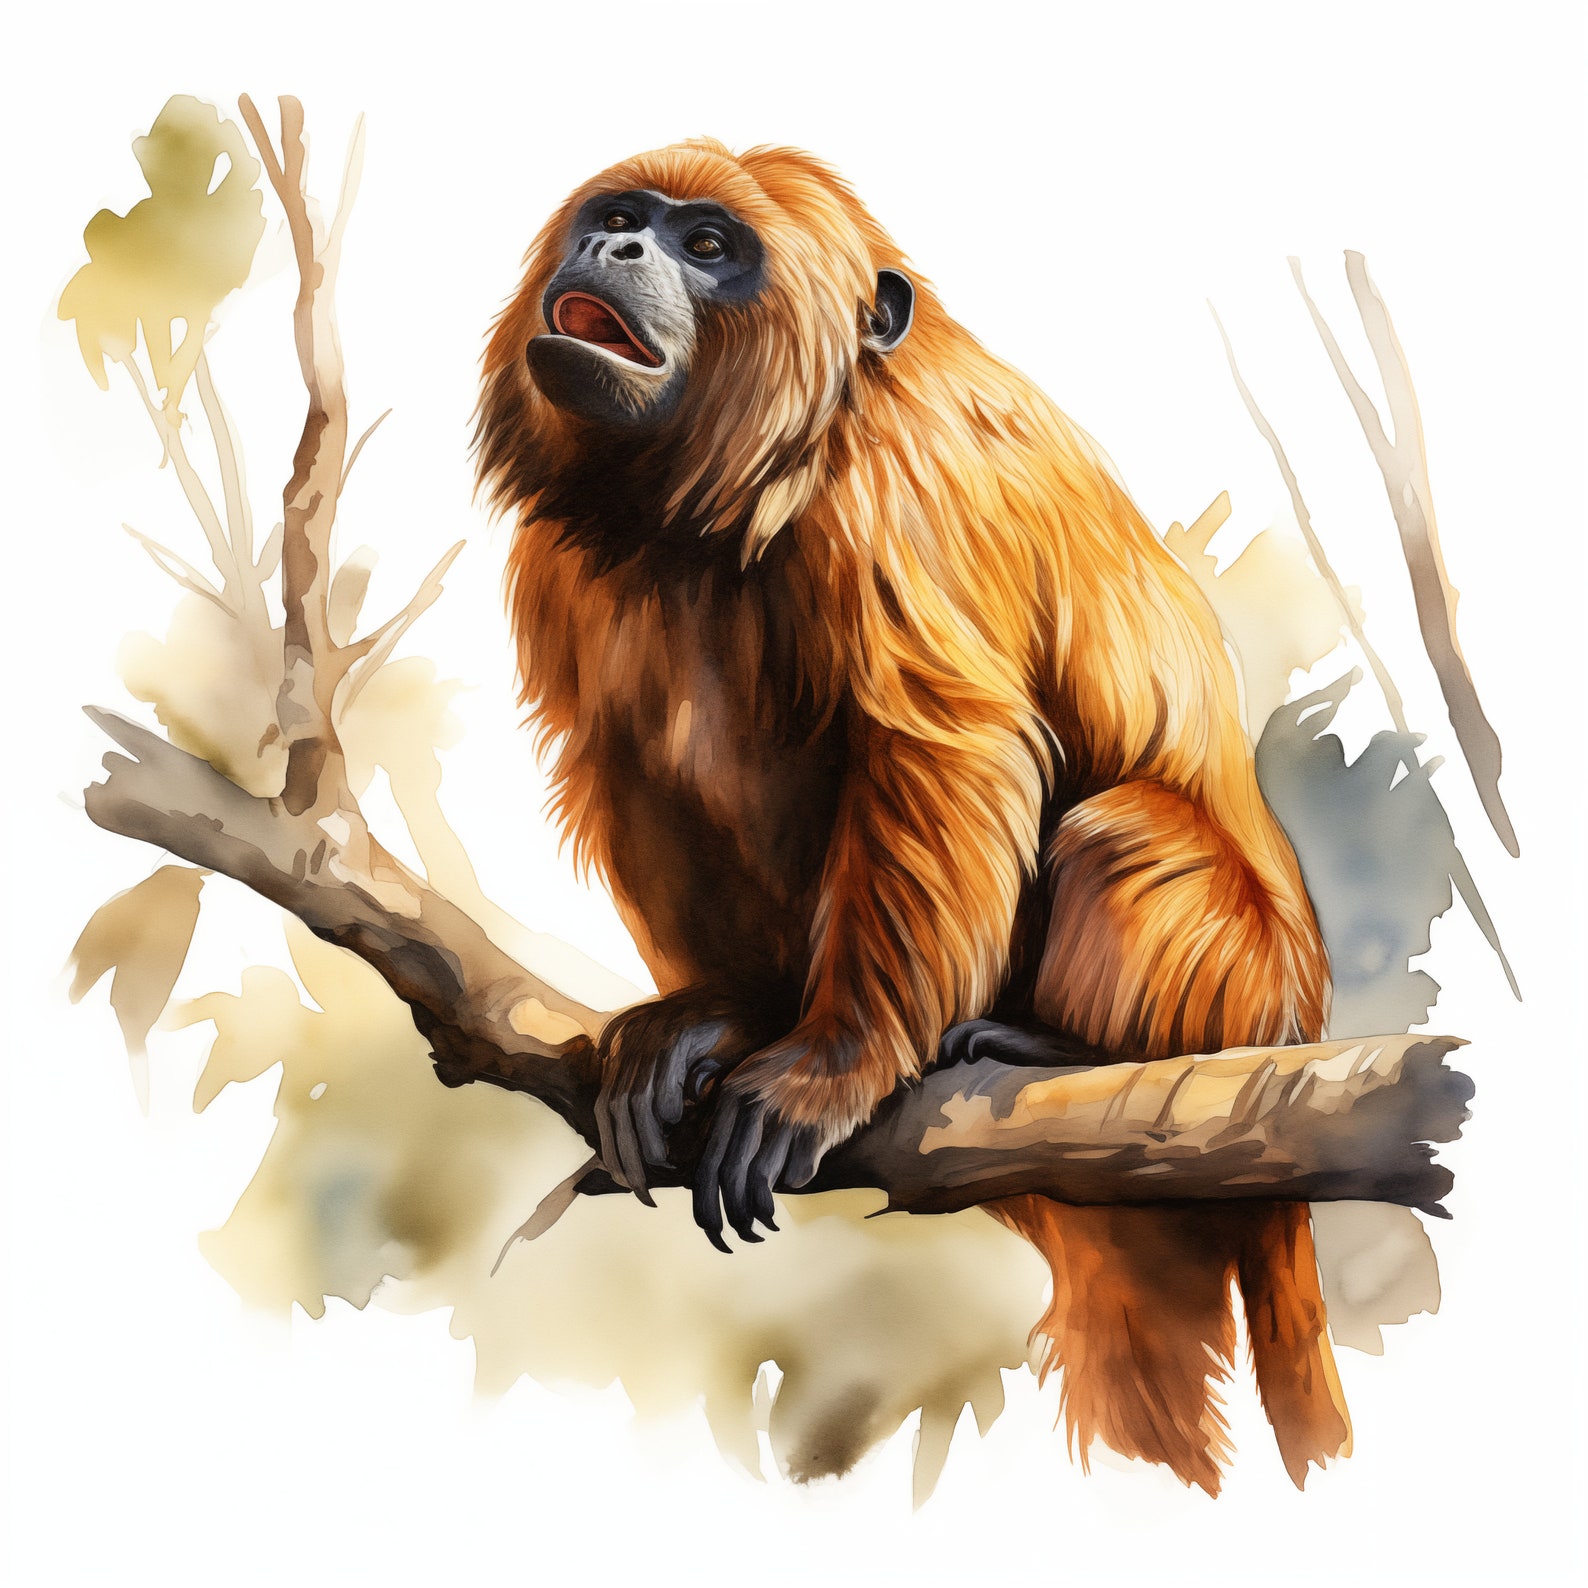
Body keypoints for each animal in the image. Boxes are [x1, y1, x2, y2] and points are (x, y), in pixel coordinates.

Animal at [475, 139, 1353, 1493]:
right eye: (620, 218)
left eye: (708, 247)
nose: (612, 250)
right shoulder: (568, 569)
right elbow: (631, 763)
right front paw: (718, 1014)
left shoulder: (895, 502)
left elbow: (949, 752)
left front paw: (827, 1068)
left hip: (1243, 989)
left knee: (1118, 828)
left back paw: (1065, 1051)